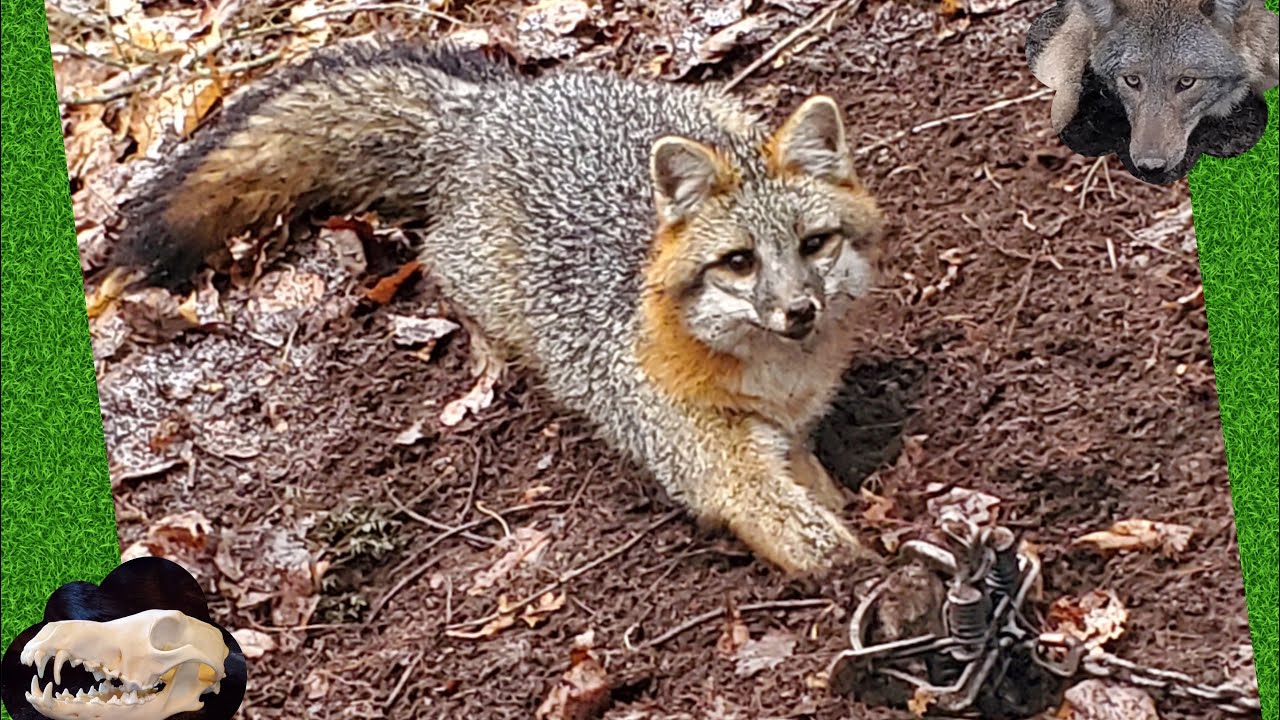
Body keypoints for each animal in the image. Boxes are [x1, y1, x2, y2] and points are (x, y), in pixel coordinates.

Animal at [102, 40, 888, 576]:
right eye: (739, 262)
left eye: (814, 244)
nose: (798, 311)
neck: (779, 380)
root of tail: (491, 111)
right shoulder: (708, 457)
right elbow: (792, 524)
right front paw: (856, 565)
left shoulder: (789, 427)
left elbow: (813, 479)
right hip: (483, 280)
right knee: (443, 268)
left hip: (717, 110)